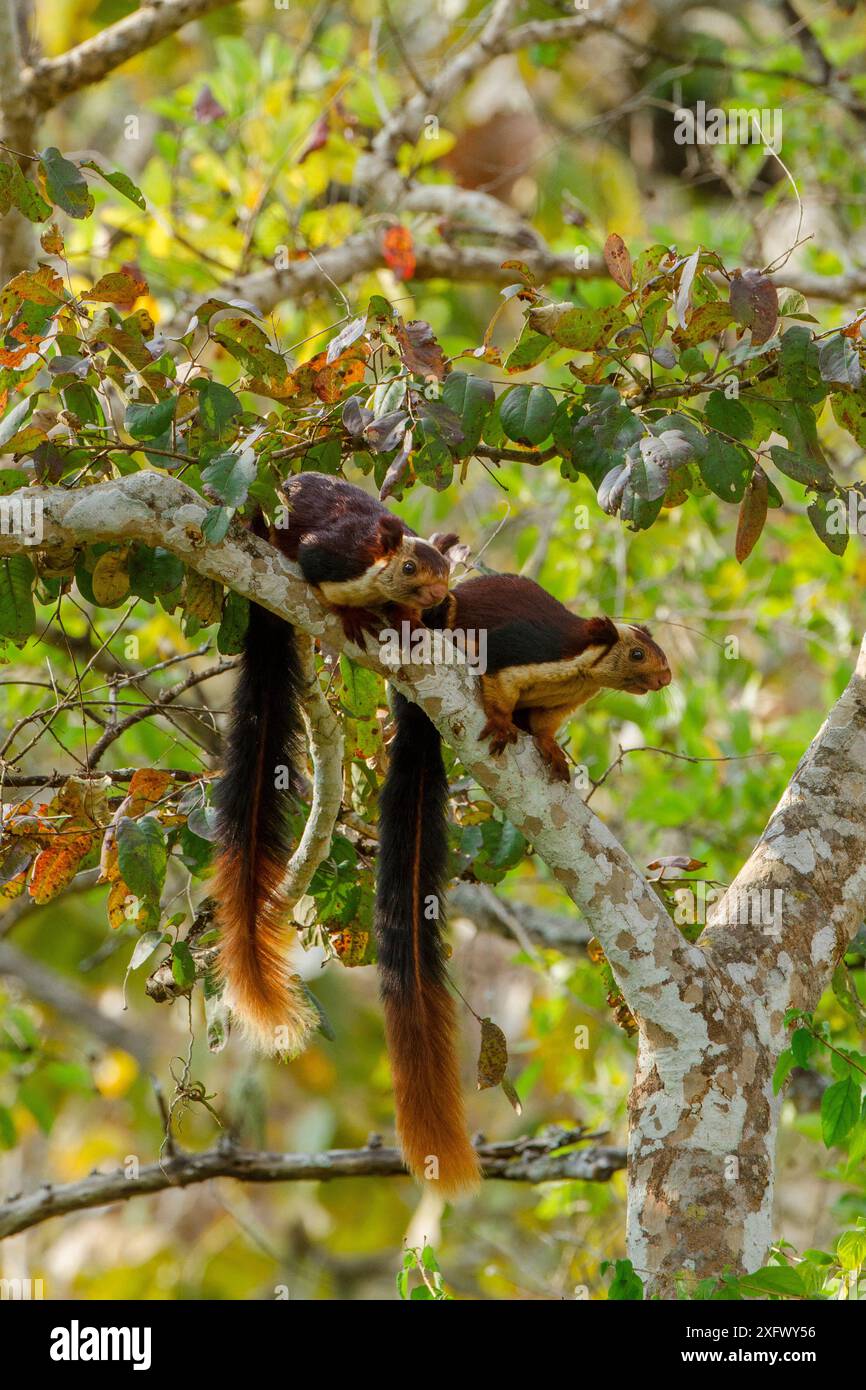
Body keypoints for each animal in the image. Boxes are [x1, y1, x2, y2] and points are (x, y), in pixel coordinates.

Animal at [215, 471, 456, 1055]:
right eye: (410, 568)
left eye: (446, 570)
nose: (436, 596)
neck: (376, 579)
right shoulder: (333, 553)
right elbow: (311, 568)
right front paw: (350, 615)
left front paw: (409, 622)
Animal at [375, 572, 671, 1196]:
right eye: (637, 653)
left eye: (658, 650)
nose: (665, 678)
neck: (579, 673)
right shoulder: (517, 657)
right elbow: (498, 693)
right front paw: (500, 724)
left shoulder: (557, 706)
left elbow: (545, 728)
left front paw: (554, 754)